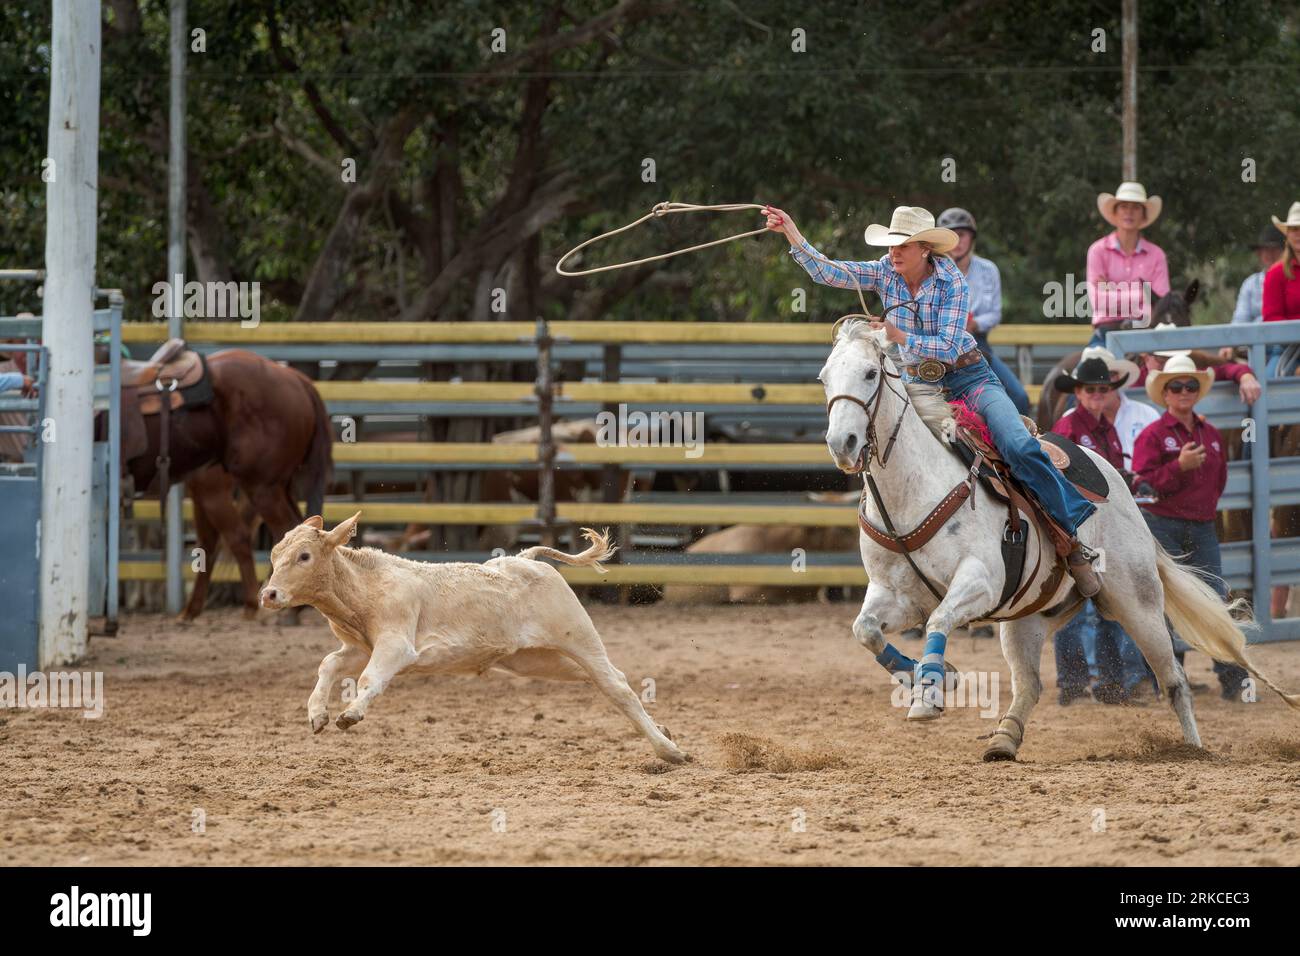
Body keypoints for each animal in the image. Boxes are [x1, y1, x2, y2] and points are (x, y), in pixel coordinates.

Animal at [259, 514, 686, 764]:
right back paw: (663, 731)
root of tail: (527, 559)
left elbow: (369, 679)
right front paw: (317, 715)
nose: (269, 594)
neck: (362, 589)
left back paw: (669, 750)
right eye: (275, 554)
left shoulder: (396, 646)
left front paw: (350, 714)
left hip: (576, 634)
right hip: (533, 659)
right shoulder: (357, 647)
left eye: (304, 556)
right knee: (600, 679)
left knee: (617, 687)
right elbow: (329, 664)